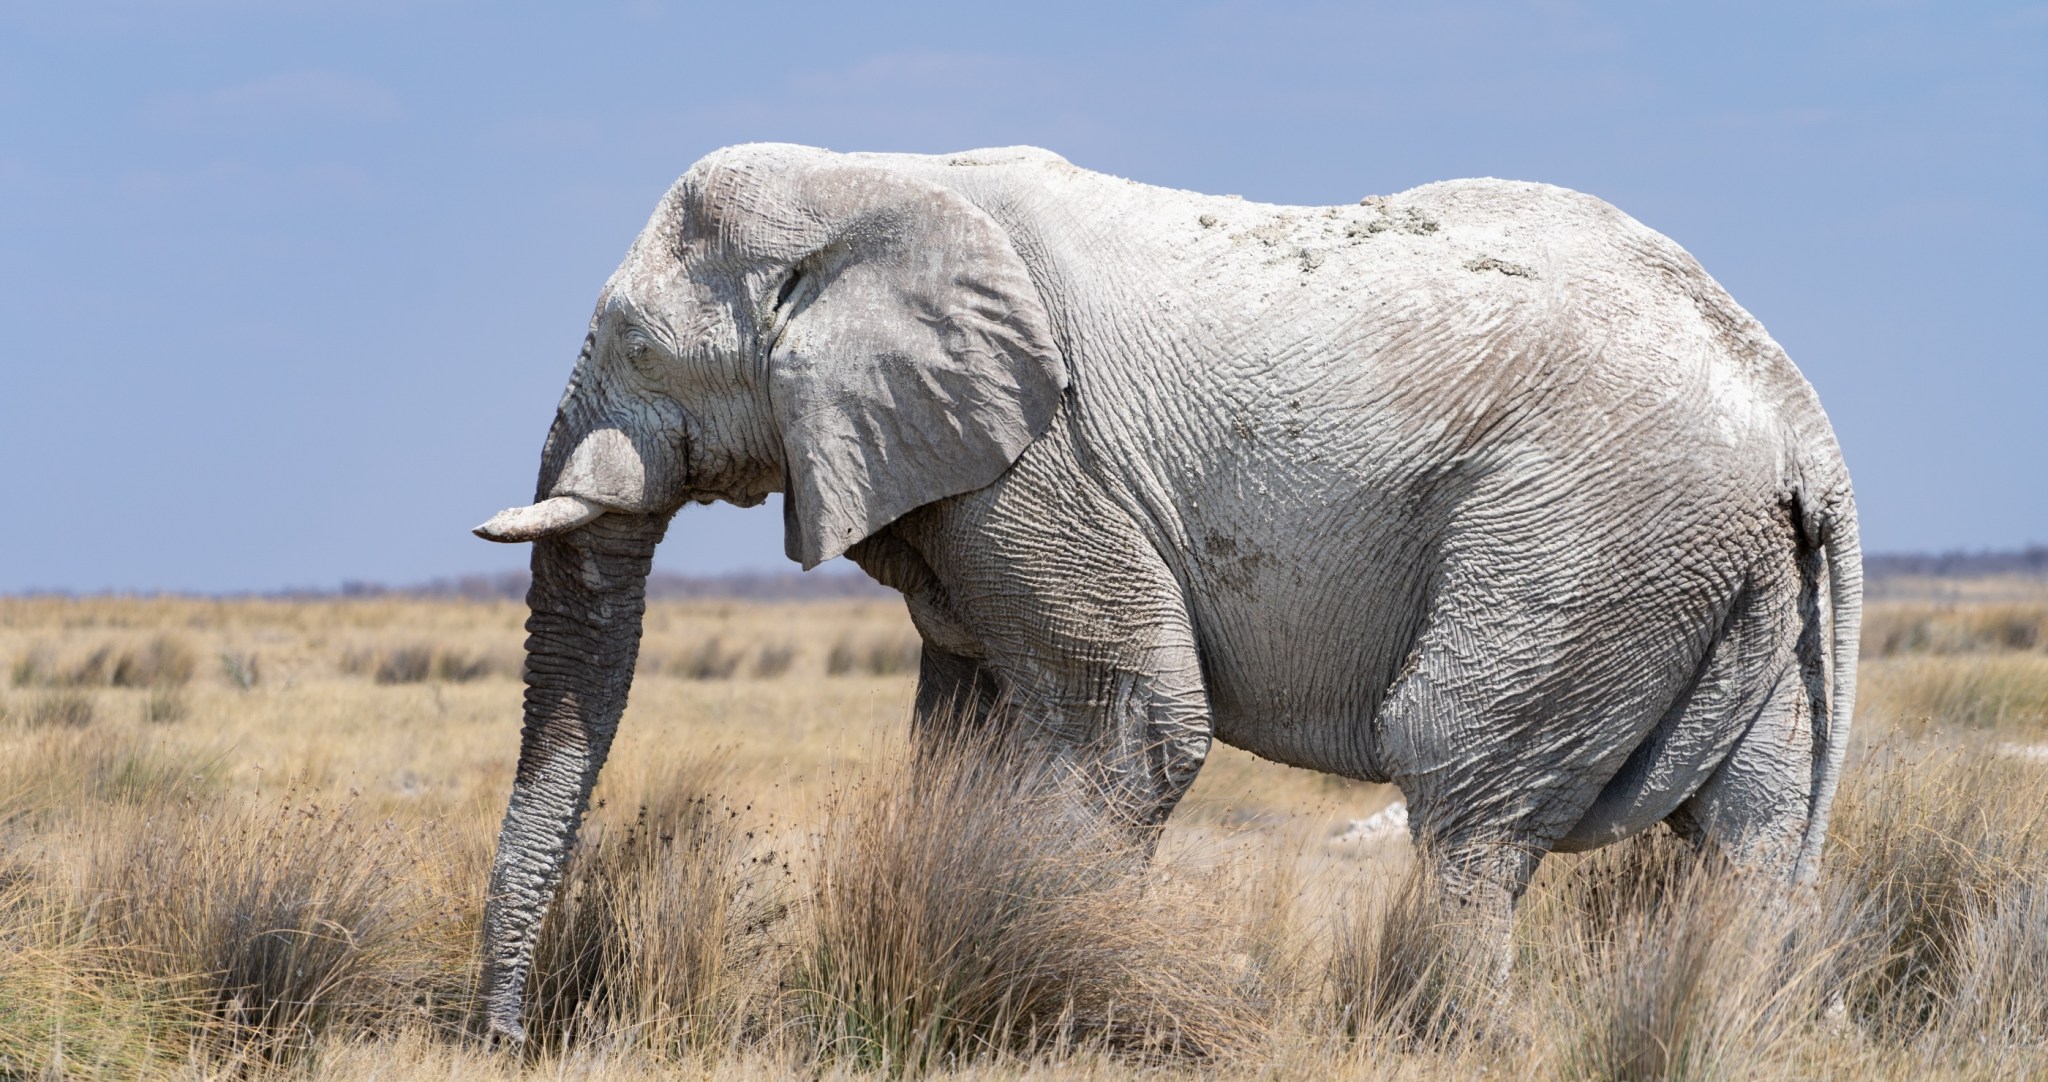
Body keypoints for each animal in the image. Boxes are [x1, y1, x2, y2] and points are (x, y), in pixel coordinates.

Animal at [470, 143, 1861, 1043]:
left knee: (1464, 794)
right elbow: (966, 731)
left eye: (638, 344)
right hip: (1717, 569)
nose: (506, 1039)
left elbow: (1134, 721)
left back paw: (1450, 1040)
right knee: (1748, 827)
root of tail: (1798, 420)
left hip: (1581, 534)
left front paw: (1061, 1002)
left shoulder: (1041, 458)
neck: (875, 178)